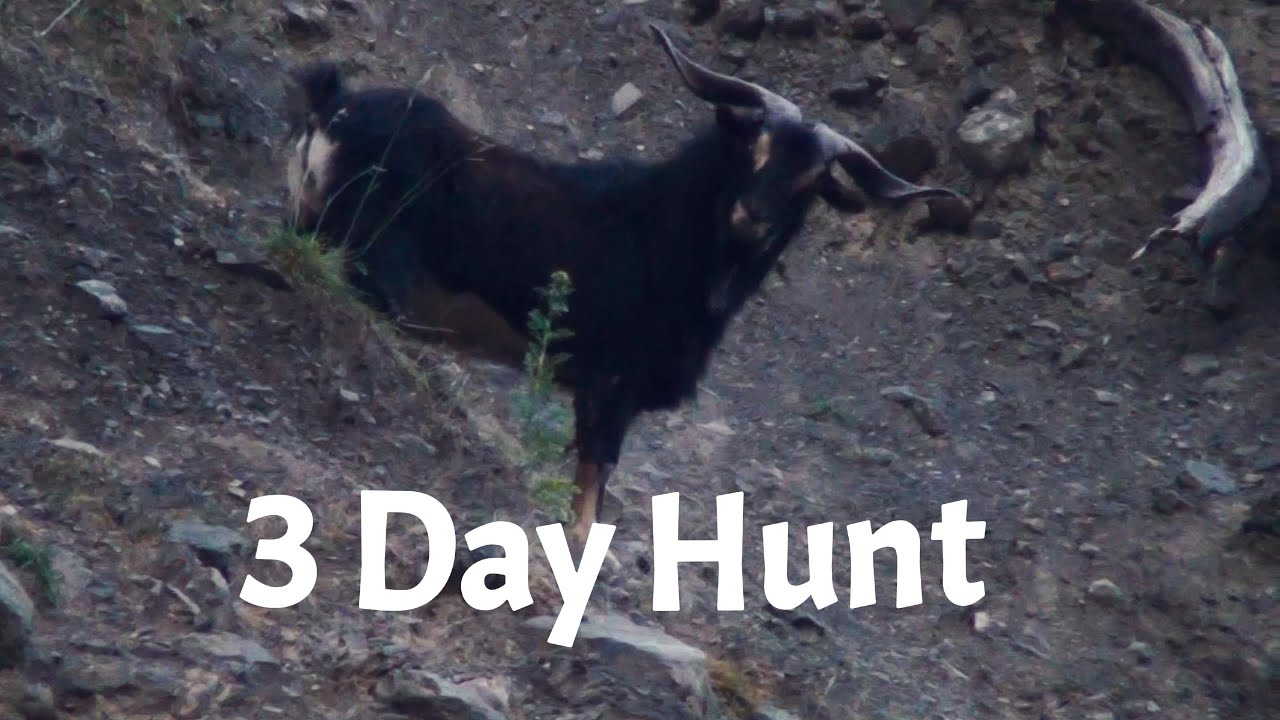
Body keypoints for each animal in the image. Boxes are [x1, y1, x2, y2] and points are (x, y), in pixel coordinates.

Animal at [283, 24, 963, 546]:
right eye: (757, 147)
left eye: (812, 181)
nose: (751, 216)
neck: (658, 233)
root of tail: (332, 106)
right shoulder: (609, 383)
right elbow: (589, 494)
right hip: (371, 254)